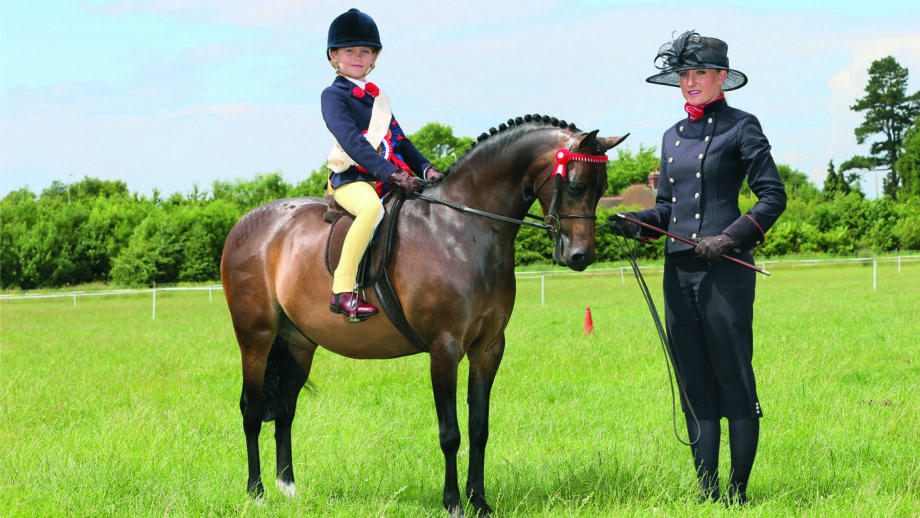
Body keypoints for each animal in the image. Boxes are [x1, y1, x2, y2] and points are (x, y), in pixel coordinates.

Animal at [220, 114, 627, 516]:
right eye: (575, 185)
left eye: (603, 186)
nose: (581, 257)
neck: (465, 229)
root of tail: (245, 223)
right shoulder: (444, 348)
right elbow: (450, 433)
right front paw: (453, 503)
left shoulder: (489, 348)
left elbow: (479, 427)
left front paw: (480, 501)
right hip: (255, 338)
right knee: (251, 409)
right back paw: (256, 491)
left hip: (299, 343)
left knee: (286, 410)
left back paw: (287, 486)